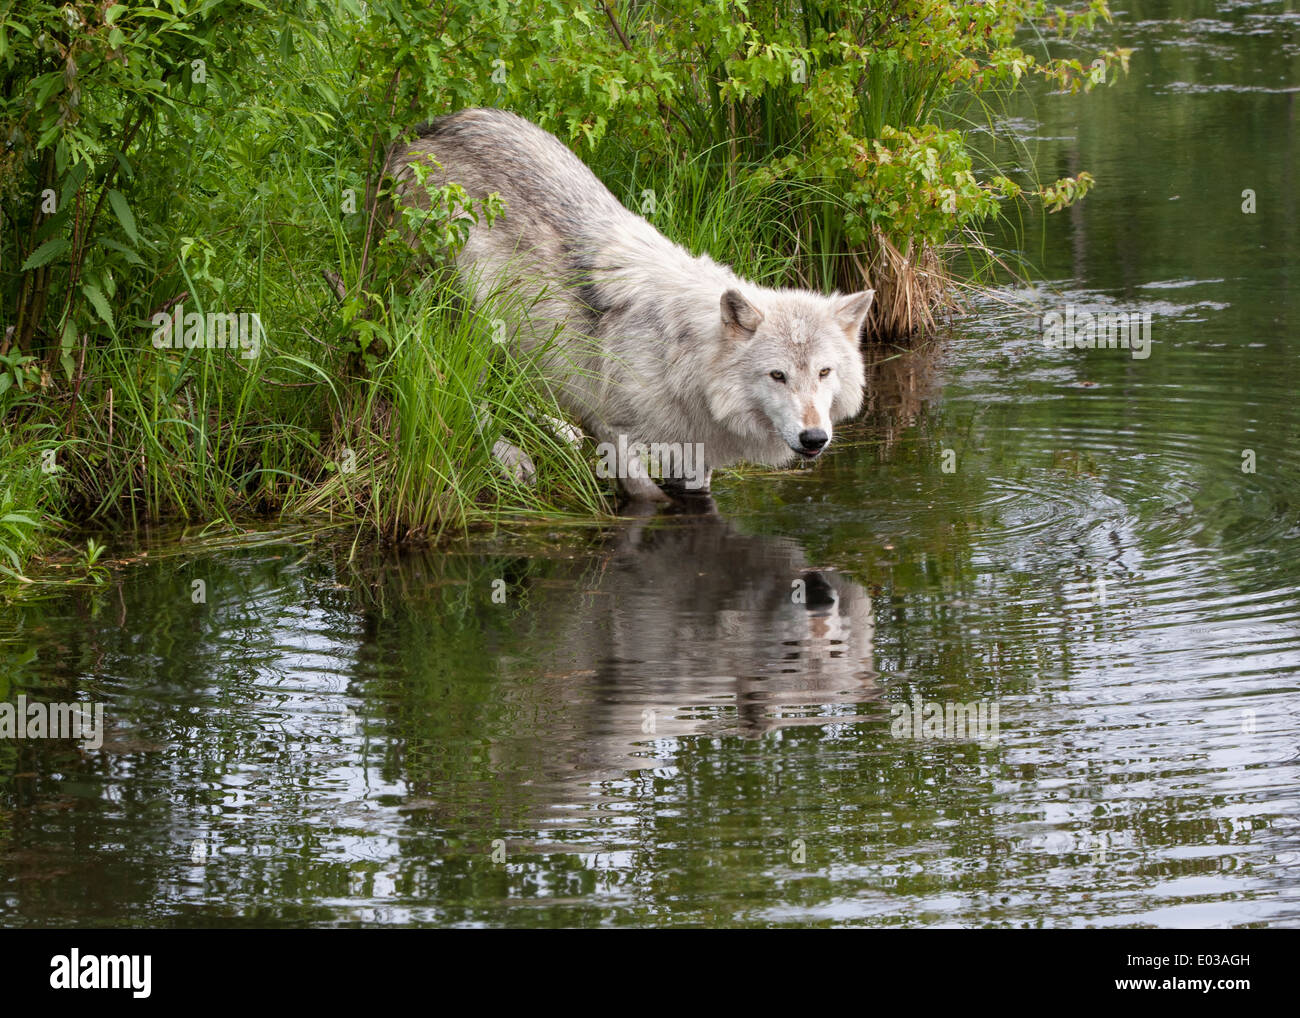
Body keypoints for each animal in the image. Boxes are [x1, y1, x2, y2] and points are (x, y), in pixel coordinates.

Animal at [385, 107, 873, 501]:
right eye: (777, 375)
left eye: (824, 372)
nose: (814, 438)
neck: (682, 359)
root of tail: (425, 130)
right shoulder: (614, 431)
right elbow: (646, 495)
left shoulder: (693, 457)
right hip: (476, 313)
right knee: (468, 393)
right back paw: (511, 456)